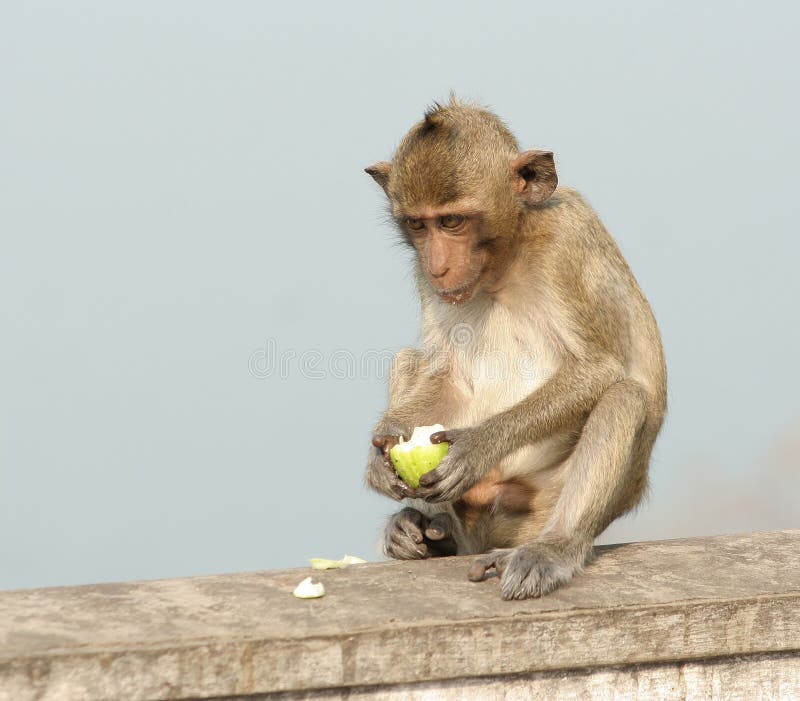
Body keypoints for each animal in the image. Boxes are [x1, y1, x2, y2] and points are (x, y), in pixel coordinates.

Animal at [364, 97, 666, 600]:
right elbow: (447, 374)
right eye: (418, 225)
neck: (505, 259)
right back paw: (425, 530)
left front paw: (477, 446)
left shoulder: (566, 240)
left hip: (540, 503)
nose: (438, 266)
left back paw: (555, 547)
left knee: (625, 397)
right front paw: (381, 453)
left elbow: (599, 368)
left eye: (452, 221)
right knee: (409, 360)